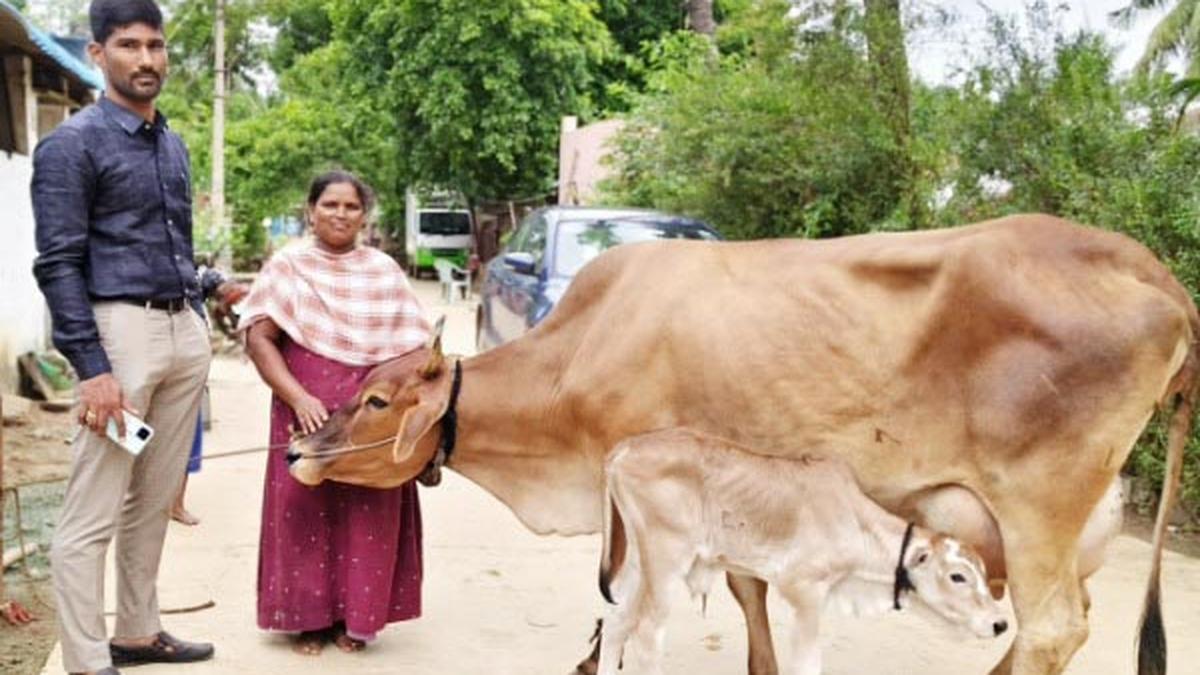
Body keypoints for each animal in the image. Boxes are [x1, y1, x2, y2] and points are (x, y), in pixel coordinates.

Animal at [596, 428, 1010, 675]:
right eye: (958, 576)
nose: (1000, 623)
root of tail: (622, 450)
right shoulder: (805, 592)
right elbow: (807, 665)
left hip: (637, 561)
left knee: (617, 622)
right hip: (666, 560)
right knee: (647, 632)